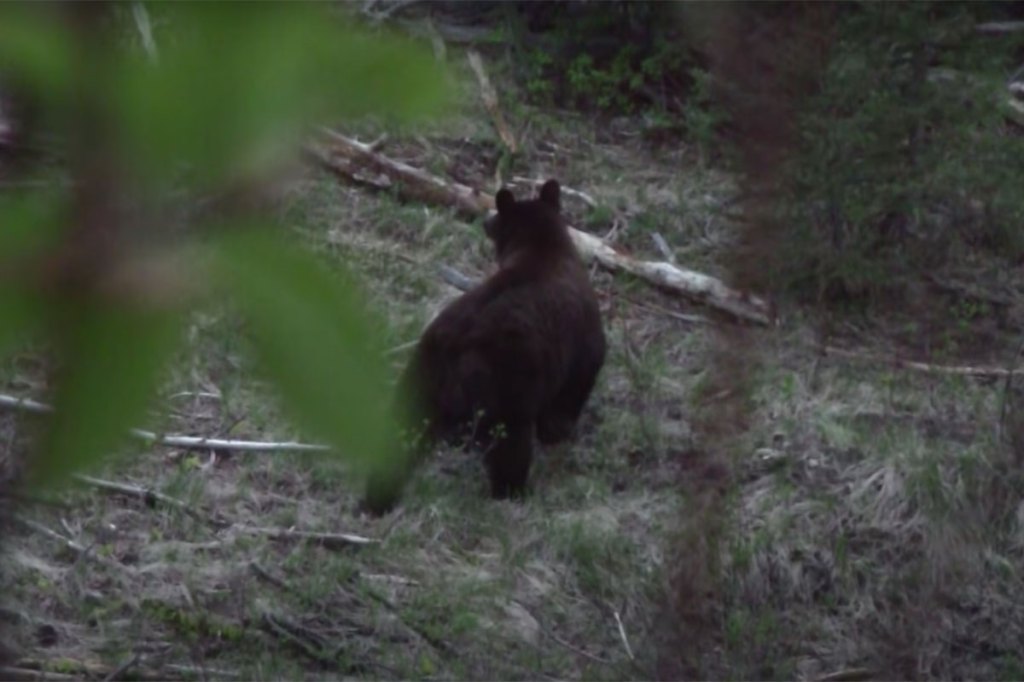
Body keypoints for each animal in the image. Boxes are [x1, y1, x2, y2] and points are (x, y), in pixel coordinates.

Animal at [362, 179, 606, 514]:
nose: (485, 220)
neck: (542, 247)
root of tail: (451, 348)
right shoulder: (581, 341)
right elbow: (576, 384)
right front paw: (558, 433)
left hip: (419, 379)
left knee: (398, 433)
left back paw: (376, 498)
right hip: (506, 390)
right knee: (510, 448)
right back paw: (514, 493)